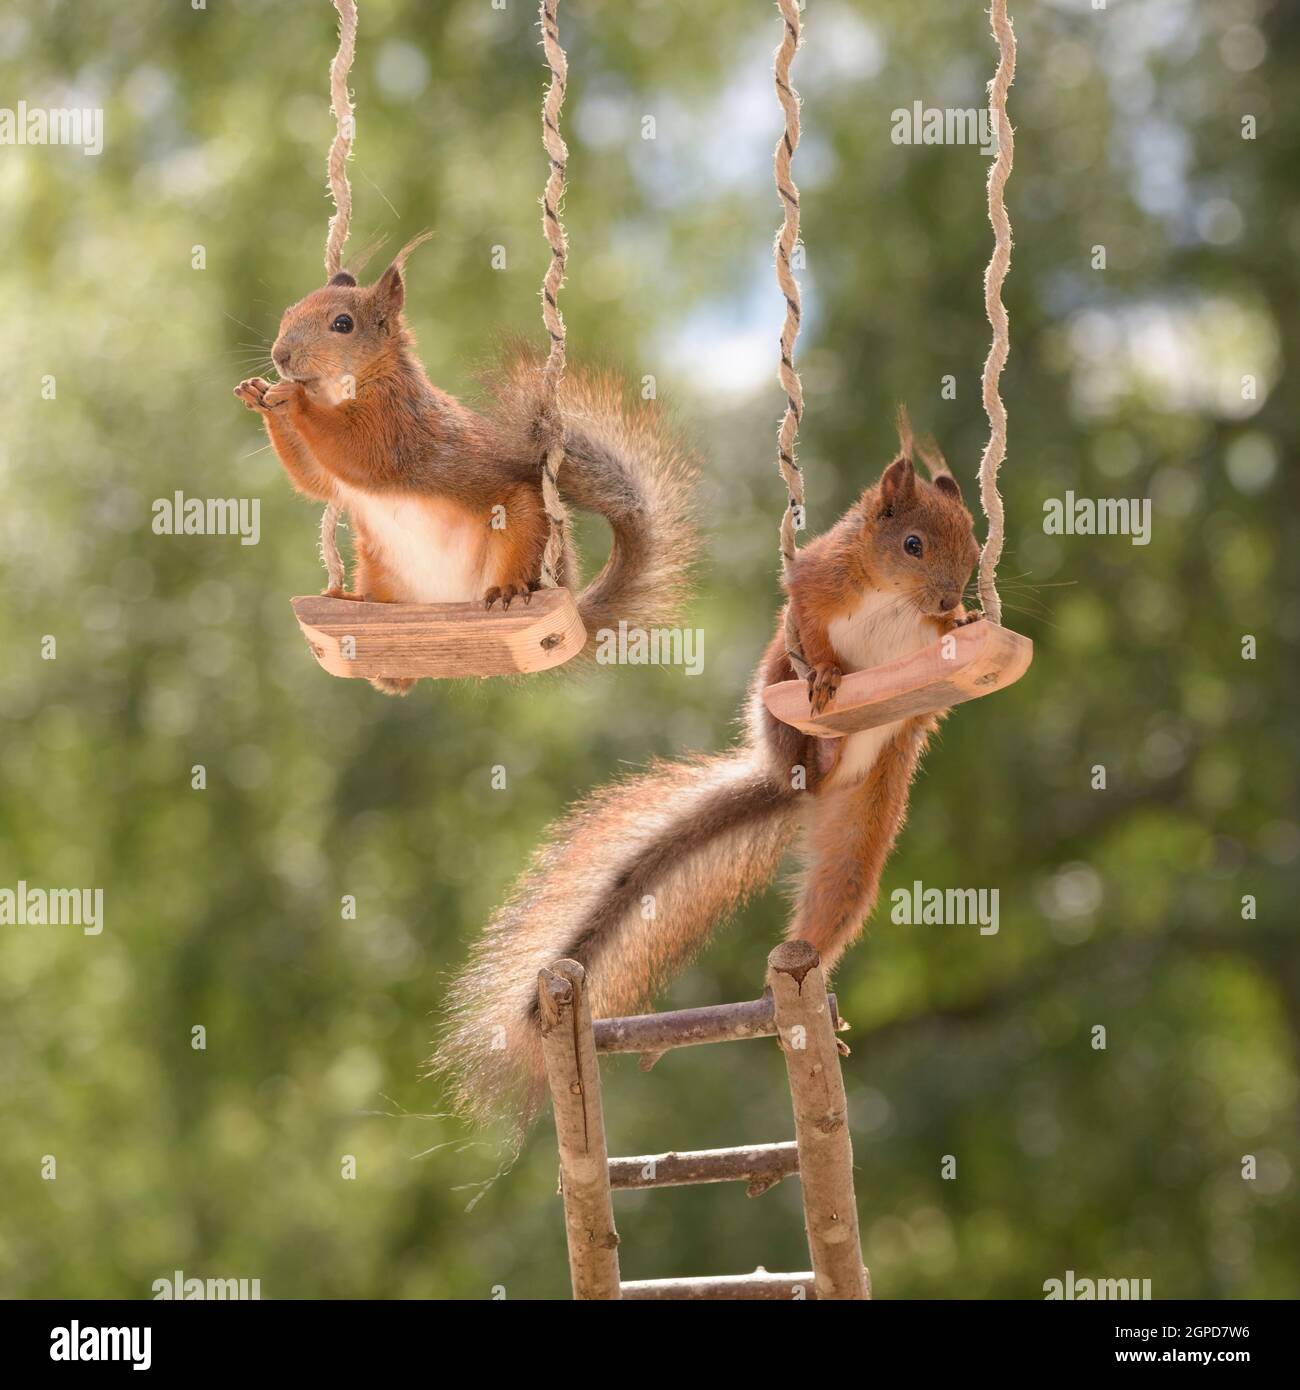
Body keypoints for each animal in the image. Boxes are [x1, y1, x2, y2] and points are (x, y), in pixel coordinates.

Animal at [234, 236, 697, 694]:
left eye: (343, 324)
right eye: (289, 312)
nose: (280, 355)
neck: (340, 389)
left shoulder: (397, 424)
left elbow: (358, 451)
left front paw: (292, 399)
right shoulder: (336, 479)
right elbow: (314, 480)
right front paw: (258, 394)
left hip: (522, 526)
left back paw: (508, 590)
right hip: (380, 571)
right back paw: (355, 611)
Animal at [430, 419, 982, 1135]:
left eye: (974, 541)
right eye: (913, 543)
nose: (951, 596)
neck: (893, 595)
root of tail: (806, 789)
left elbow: (939, 635)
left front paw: (965, 623)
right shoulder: (815, 582)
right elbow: (809, 621)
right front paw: (827, 673)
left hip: (869, 809)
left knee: (834, 899)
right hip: (775, 692)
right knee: (791, 720)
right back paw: (816, 748)